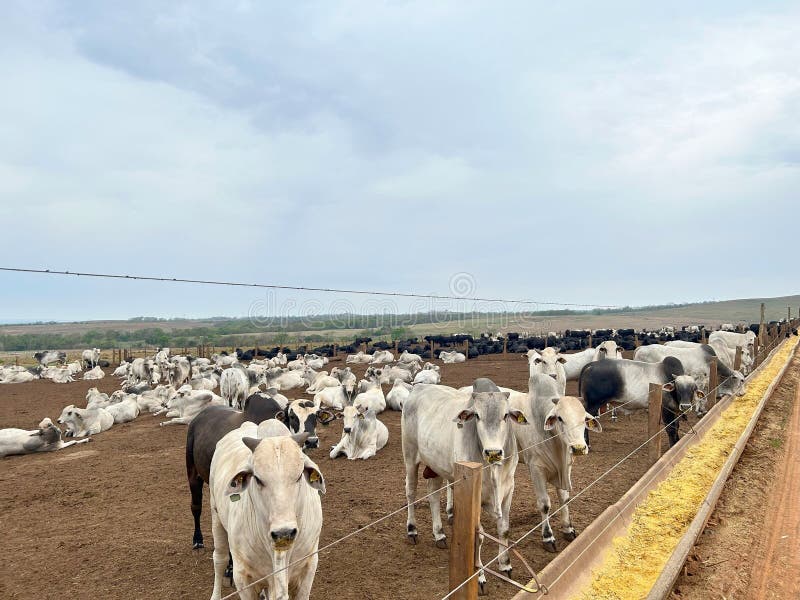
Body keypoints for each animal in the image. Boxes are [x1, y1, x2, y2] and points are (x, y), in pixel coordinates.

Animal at [208, 422, 324, 600]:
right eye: (257, 479)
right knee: (220, 559)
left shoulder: (309, 566)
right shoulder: (242, 577)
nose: (284, 533)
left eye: (299, 476)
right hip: (216, 515)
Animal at [402, 378, 527, 592]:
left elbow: (504, 528)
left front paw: (506, 565)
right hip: (410, 456)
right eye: (477, 415)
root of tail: (418, 387)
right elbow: (479, 536)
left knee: (433, 494)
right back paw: (412, 529)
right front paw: (480, 578)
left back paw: (440, 534)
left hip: (436, 464)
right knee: (410, 491)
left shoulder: (509, 488)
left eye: (505, 415)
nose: (493, 452)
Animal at [511, 374, 601, 551]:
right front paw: (548, 537)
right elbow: (544, 504)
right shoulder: (536, 469)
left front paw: (568, 529)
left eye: (584, 419)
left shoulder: (565, 469)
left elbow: (564, 498)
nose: (579, 448)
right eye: (560, 418)